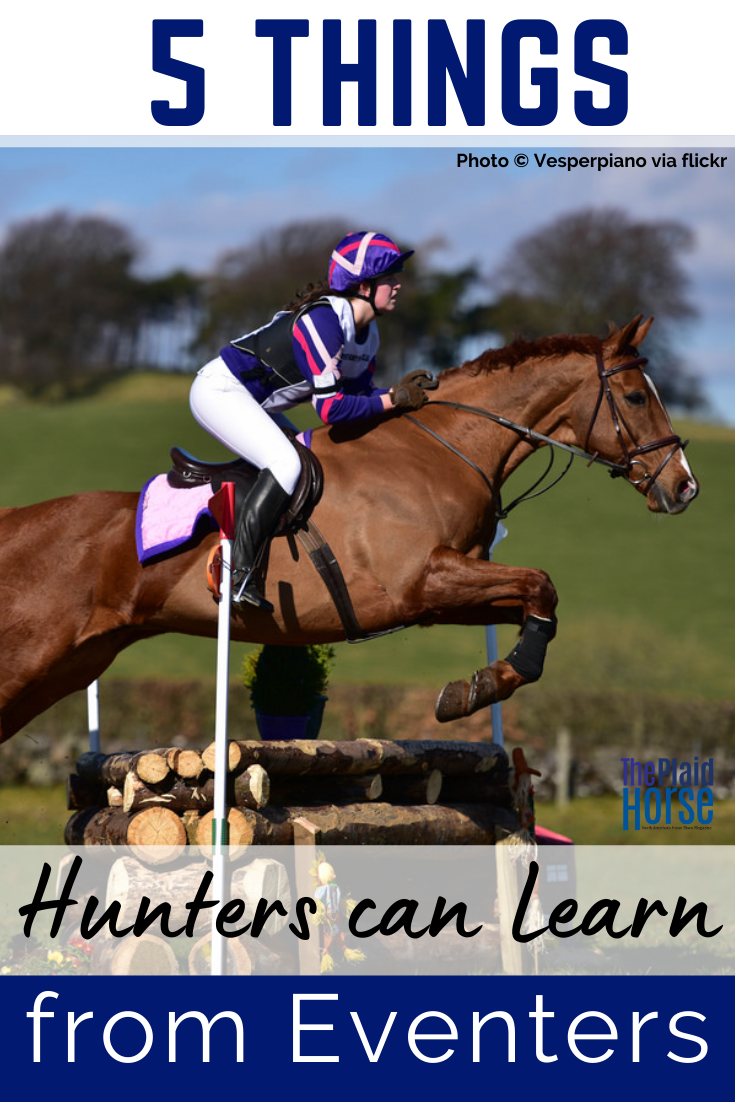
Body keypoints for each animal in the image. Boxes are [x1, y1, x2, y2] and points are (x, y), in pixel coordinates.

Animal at [0, 315, 698, 744]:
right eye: (636, 397)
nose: (685, 487)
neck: (443, 448)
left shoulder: (444, 594)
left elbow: (535, 598)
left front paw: (476, 687)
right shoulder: (423, 579)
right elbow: (543, 583)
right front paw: (473, 691)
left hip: (67, 666)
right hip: (29, 660)